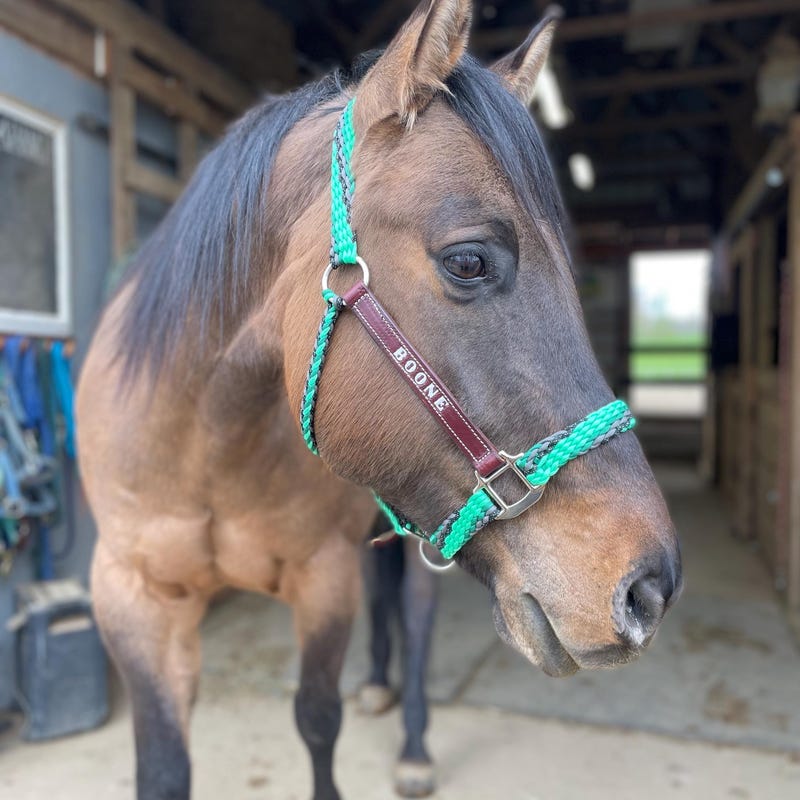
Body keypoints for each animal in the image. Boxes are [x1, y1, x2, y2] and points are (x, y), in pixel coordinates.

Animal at [76, 2, 682, 798]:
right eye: (469, 260)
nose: (649, 588)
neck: (205, 441)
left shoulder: (321, 578)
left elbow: (316, 718)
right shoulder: (133, 597)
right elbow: (165, 768)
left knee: (414, 619)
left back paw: (414, 743)